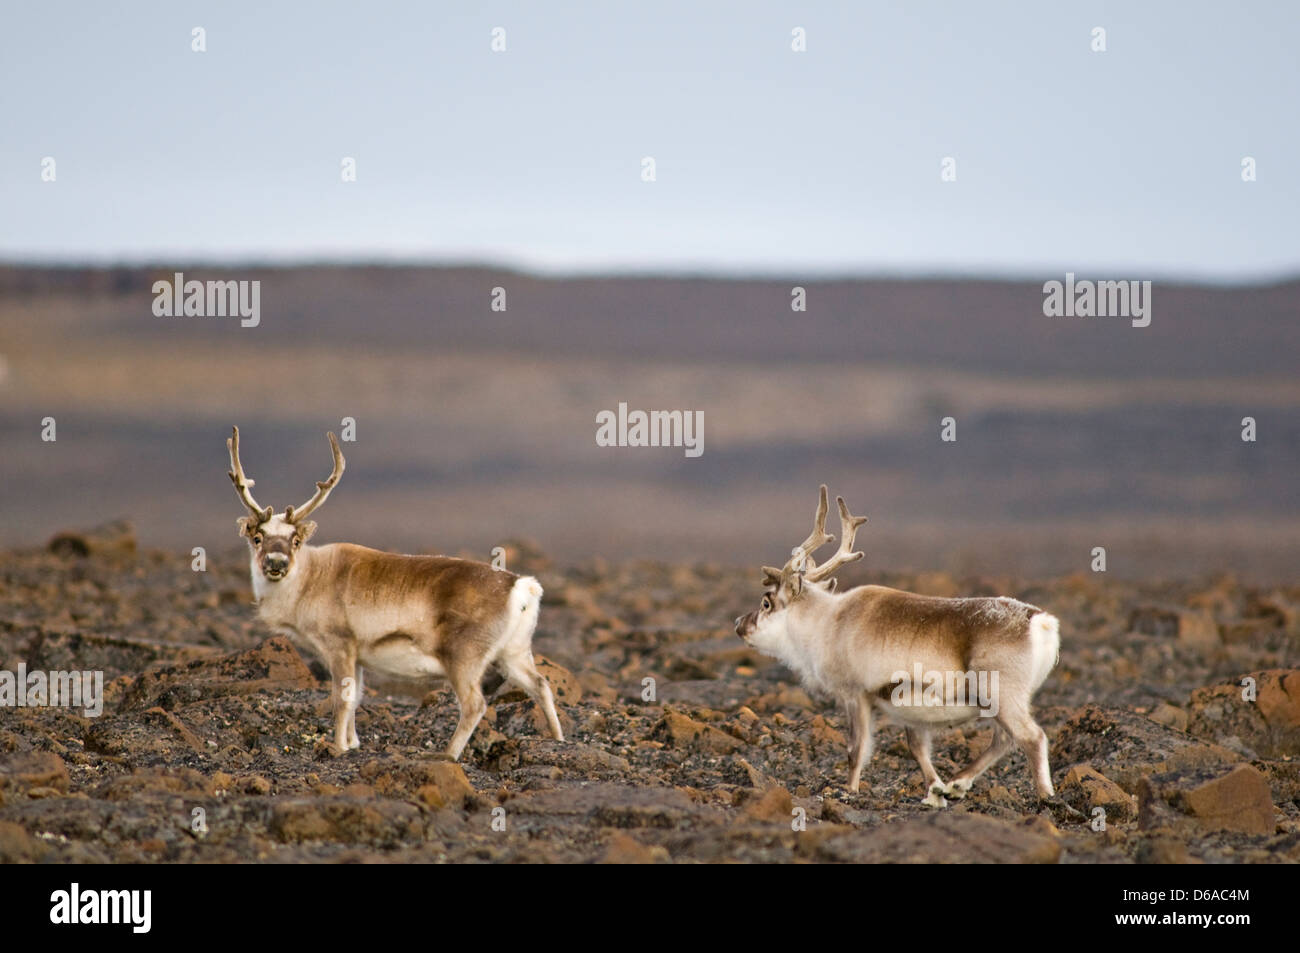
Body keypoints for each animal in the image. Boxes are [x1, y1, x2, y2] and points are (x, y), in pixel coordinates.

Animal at [225, 426, 564, 760]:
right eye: (257, 537)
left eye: (295, 540)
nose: (276, 563)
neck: (310, 577)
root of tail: (521, 585)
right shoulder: (359, 656)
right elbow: (357, 697)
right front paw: (353, 743)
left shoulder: (339, 646)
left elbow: (342, 700)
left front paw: (338, 748)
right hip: (514, 653)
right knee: (541, 685)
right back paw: (558, 739)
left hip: (464, 658)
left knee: (474, 704)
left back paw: (446, 755)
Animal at [734, 486, 1061, 809]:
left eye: (766, 602)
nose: (739, 623)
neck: (825, 622)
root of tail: (1039, 620)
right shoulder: (910, 709)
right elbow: (916, 747)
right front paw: (935, 792)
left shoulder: (854, 694)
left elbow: (856, 749)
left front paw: (848, 791)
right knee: (1004, 739)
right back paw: (957, 784)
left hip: (1002, 695)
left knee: (1032, 737)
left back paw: (1046, 797)